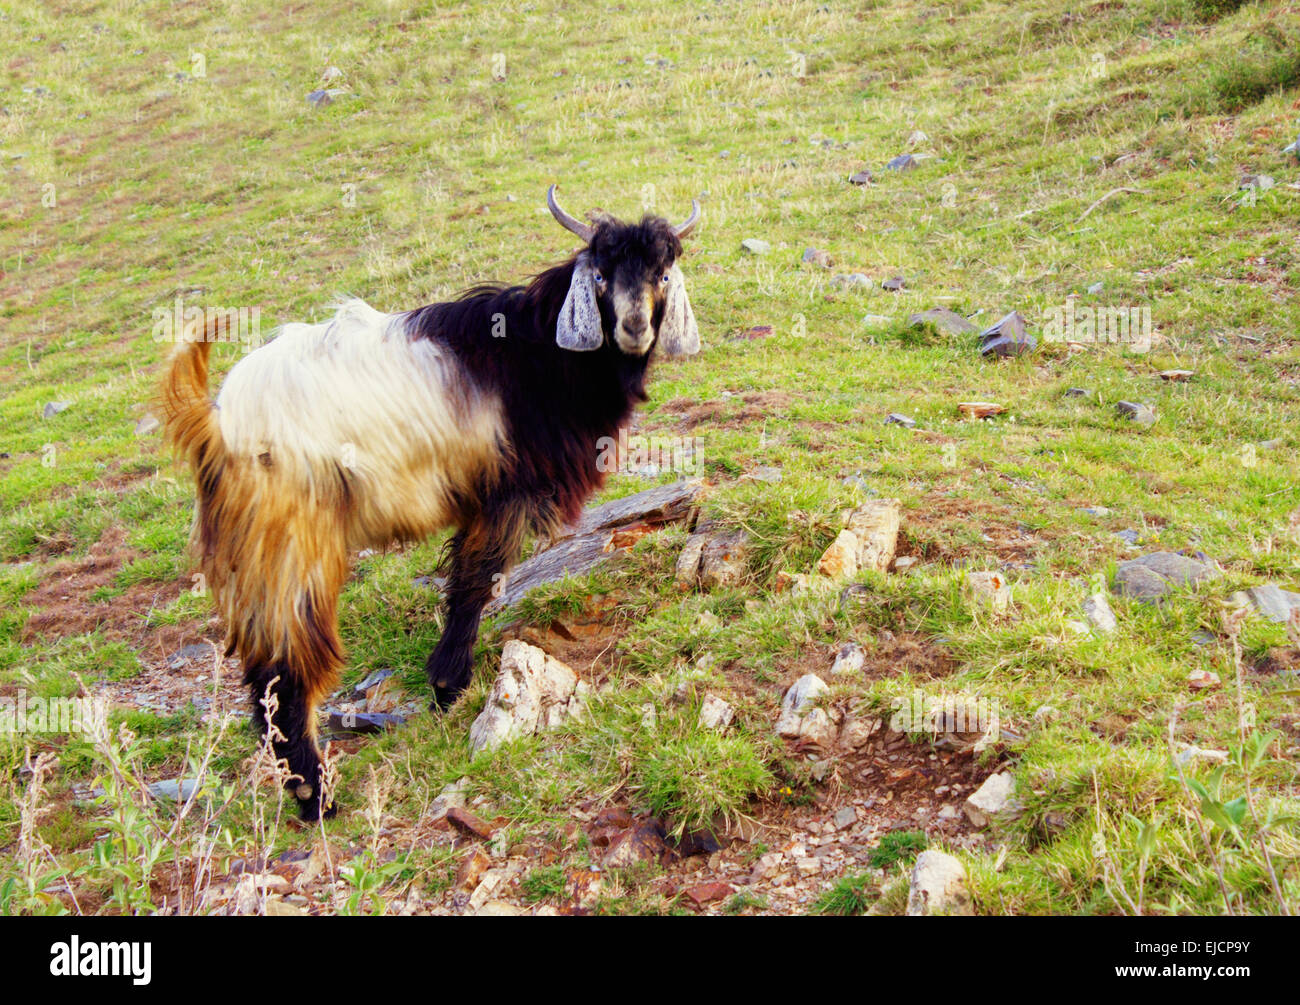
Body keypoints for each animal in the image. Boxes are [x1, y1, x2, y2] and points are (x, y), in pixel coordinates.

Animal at [159, 187, 701, 819]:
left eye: (662, 272)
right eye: (599, 273)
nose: (635, 326)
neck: (540, 352)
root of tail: (218, 424)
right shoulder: (504, 492)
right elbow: (476, 579)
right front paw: (447, 685)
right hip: (292, 540)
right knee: (284, 669)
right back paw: (315, 795)